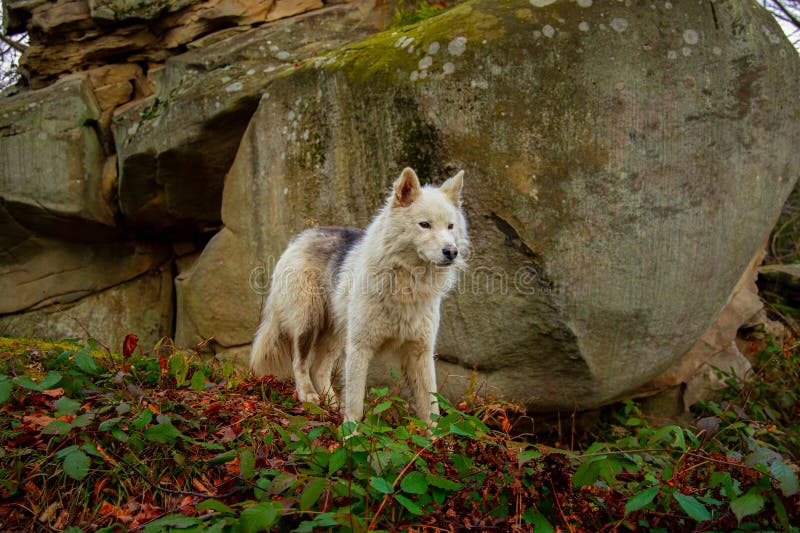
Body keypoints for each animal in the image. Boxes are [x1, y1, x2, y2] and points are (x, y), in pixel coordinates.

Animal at [249, 167, 467, 423]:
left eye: (450, 226)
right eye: (425, 224)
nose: (451, 251)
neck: (406, 284)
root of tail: (303, 235)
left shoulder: (420, 351)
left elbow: (431, 408)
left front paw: (434, 434)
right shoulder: (359, 348)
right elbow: (355, 404)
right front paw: (350, 432)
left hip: (336, 334)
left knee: (318, 369)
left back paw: (332, 406)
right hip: (309, 322)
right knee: (300, 363)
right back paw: (309, 397)